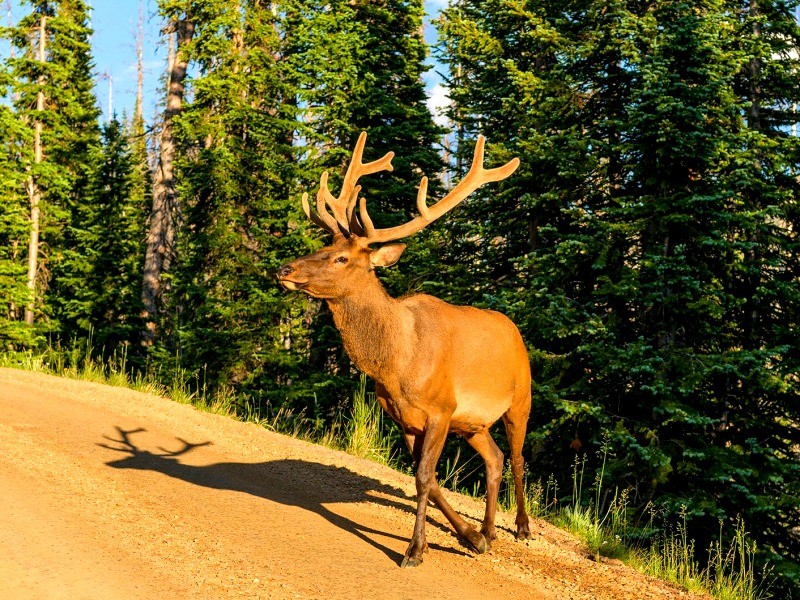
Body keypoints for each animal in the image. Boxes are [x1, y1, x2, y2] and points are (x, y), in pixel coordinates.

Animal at [277, 132, 532, 567]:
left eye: (341, 257)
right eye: (323, 244)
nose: (284, 270)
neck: (396, 361)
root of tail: (514, 330)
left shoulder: (441, 409)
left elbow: (425, 477)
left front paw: (414, 550)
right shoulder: (406, 418)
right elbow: (427, 479)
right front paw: (467, 538)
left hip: (520, 401)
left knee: (516, 458)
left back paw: (522, 527)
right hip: (473, 424)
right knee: (494, 459)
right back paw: (488, 532)